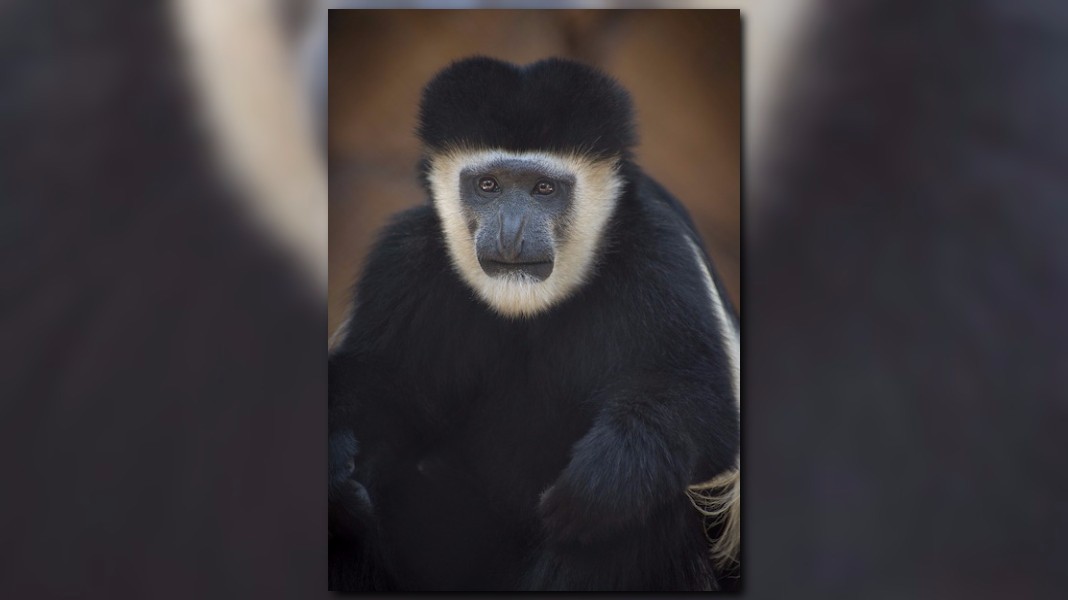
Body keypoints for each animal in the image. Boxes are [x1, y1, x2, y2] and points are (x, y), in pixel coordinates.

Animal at [328, 56, 740, 591]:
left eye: (544, 189)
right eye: (488, 186)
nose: (511, 233)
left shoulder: (662, 256)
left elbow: (701, 402)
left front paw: (605, 477)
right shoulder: (401, 263)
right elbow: (378, 383)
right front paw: (334, 457)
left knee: (643, 511)